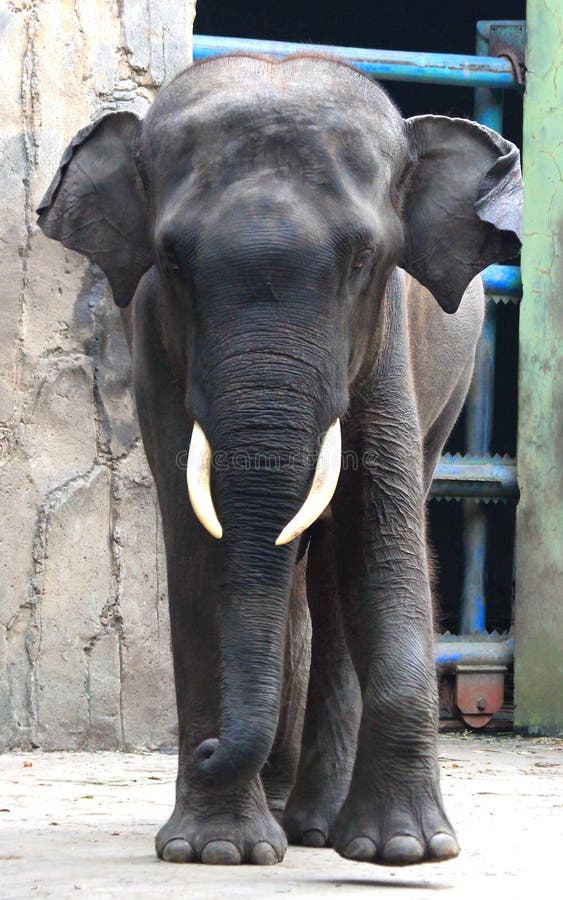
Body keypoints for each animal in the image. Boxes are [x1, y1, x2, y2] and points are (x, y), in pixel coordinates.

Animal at [37, 54, 522, 867]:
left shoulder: (385, 335)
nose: (204, 750)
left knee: (329, 573)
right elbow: (200, 540)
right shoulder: (157, 343)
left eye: (366, 259)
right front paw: (217, 851)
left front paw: (406, 850)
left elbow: (377, 530)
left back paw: (319, 827)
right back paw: (282, 811)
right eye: (172, 258)